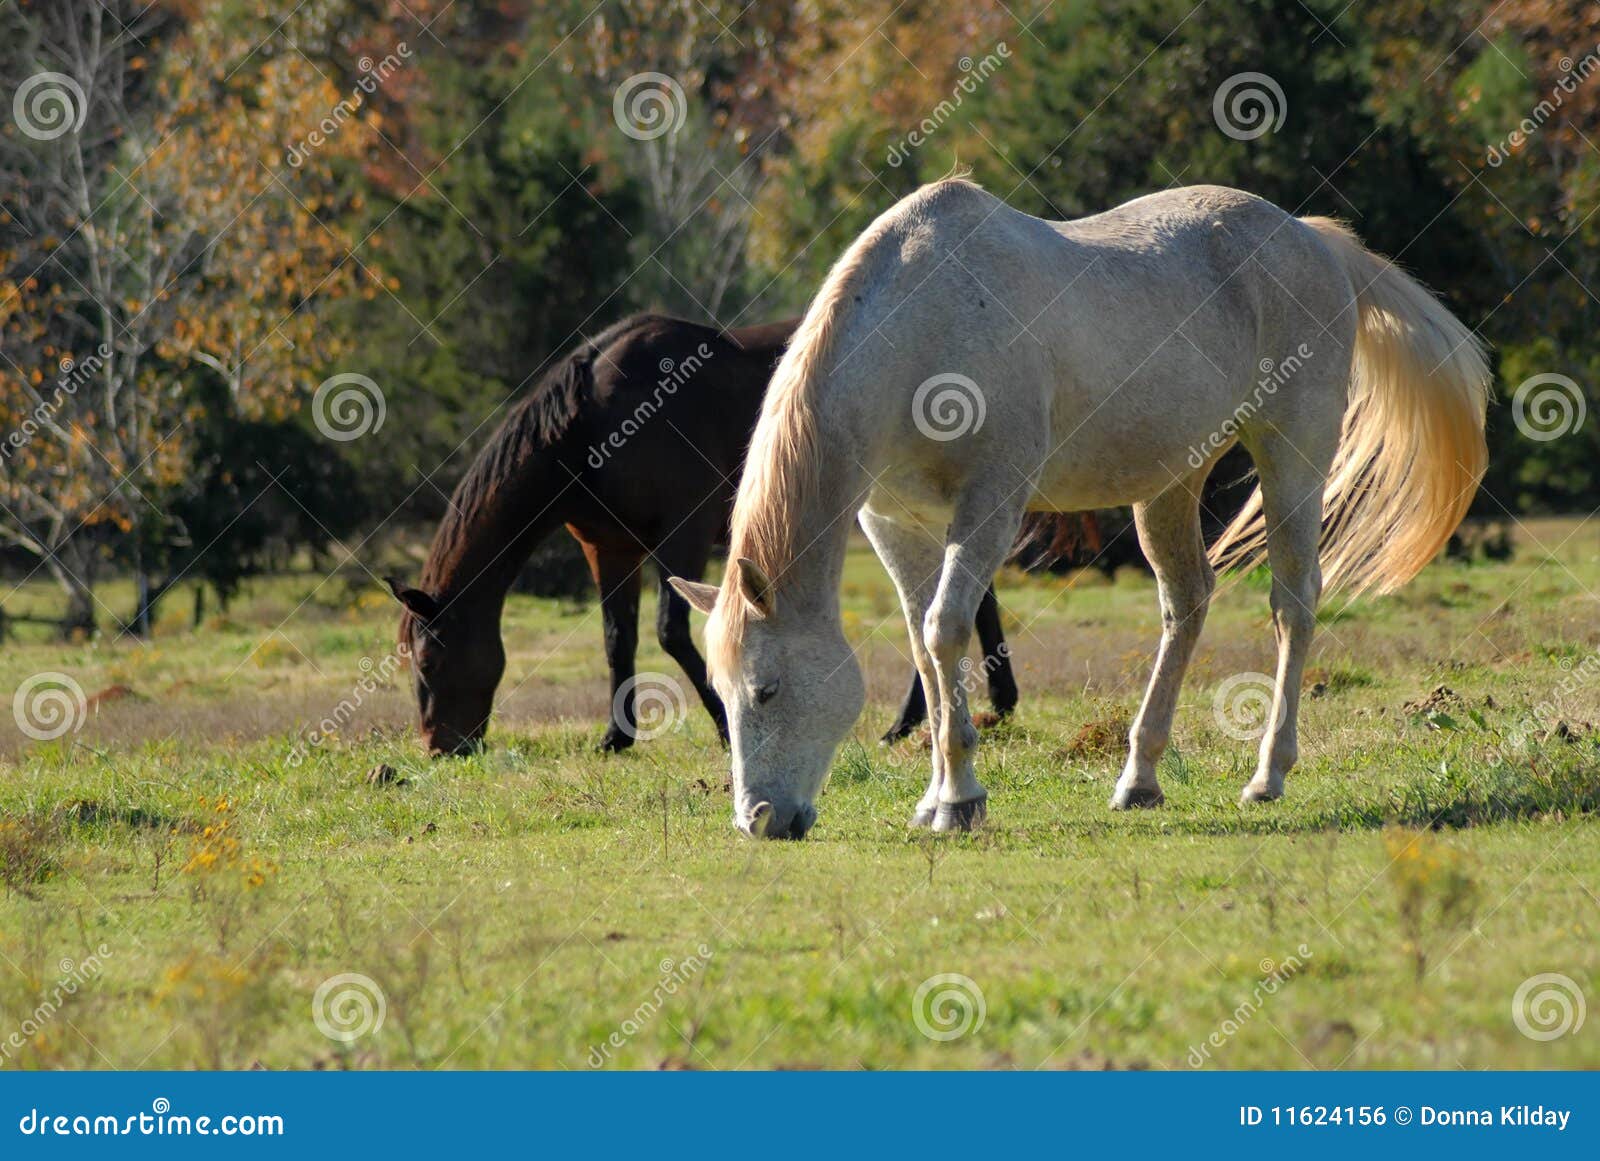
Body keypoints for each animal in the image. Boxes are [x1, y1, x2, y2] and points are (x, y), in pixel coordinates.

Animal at [386, 313, 1040, 757]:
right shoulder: (608, 547)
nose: (441, 746)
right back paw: (983, 704)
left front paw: (726, 725)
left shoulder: (683, 535)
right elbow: (617, 639)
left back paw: (916, 720)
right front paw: (616, 736)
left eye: (431, 661)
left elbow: (671, 632)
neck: (593, 421)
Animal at [669, 178, 1489, 839]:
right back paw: (1140, 777)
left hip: (1293, 452)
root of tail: (1309, 236)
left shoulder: (992, 502)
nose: (759, 821)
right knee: (1187, 601)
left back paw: (1267, 774)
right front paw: (936, 797)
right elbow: (925, 651)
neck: (921, 329)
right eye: (722, 694)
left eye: (768, 689)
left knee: (1293, 603)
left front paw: (960, 799)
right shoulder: (894, 523)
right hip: (1171, 482)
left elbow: (944, 631)